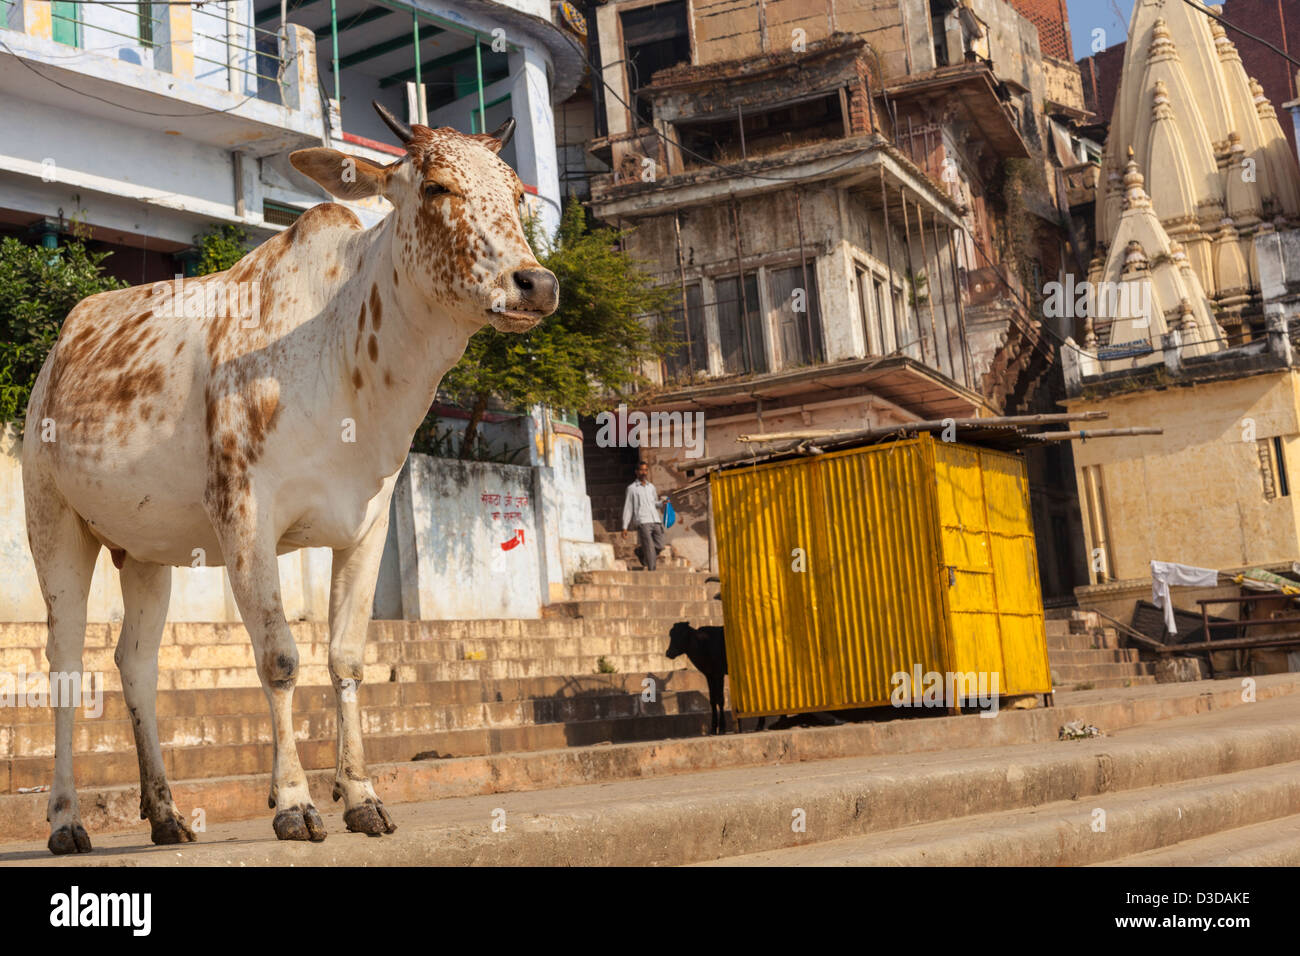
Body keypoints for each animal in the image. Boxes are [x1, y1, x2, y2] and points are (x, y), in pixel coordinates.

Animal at [22, 102, 557, 854]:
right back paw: (68, 819)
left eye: (515, 194)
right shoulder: (246, 518)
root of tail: (58, 352)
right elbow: (279, 658)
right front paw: (295, 803)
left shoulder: (367, 526)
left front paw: (361, 796)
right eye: (436, 188)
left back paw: (165, 813)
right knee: (67, 663)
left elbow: (347, 658)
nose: (535, 284)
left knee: (137, 662)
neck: (345, 356)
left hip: (147, 553)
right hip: (55, 525)